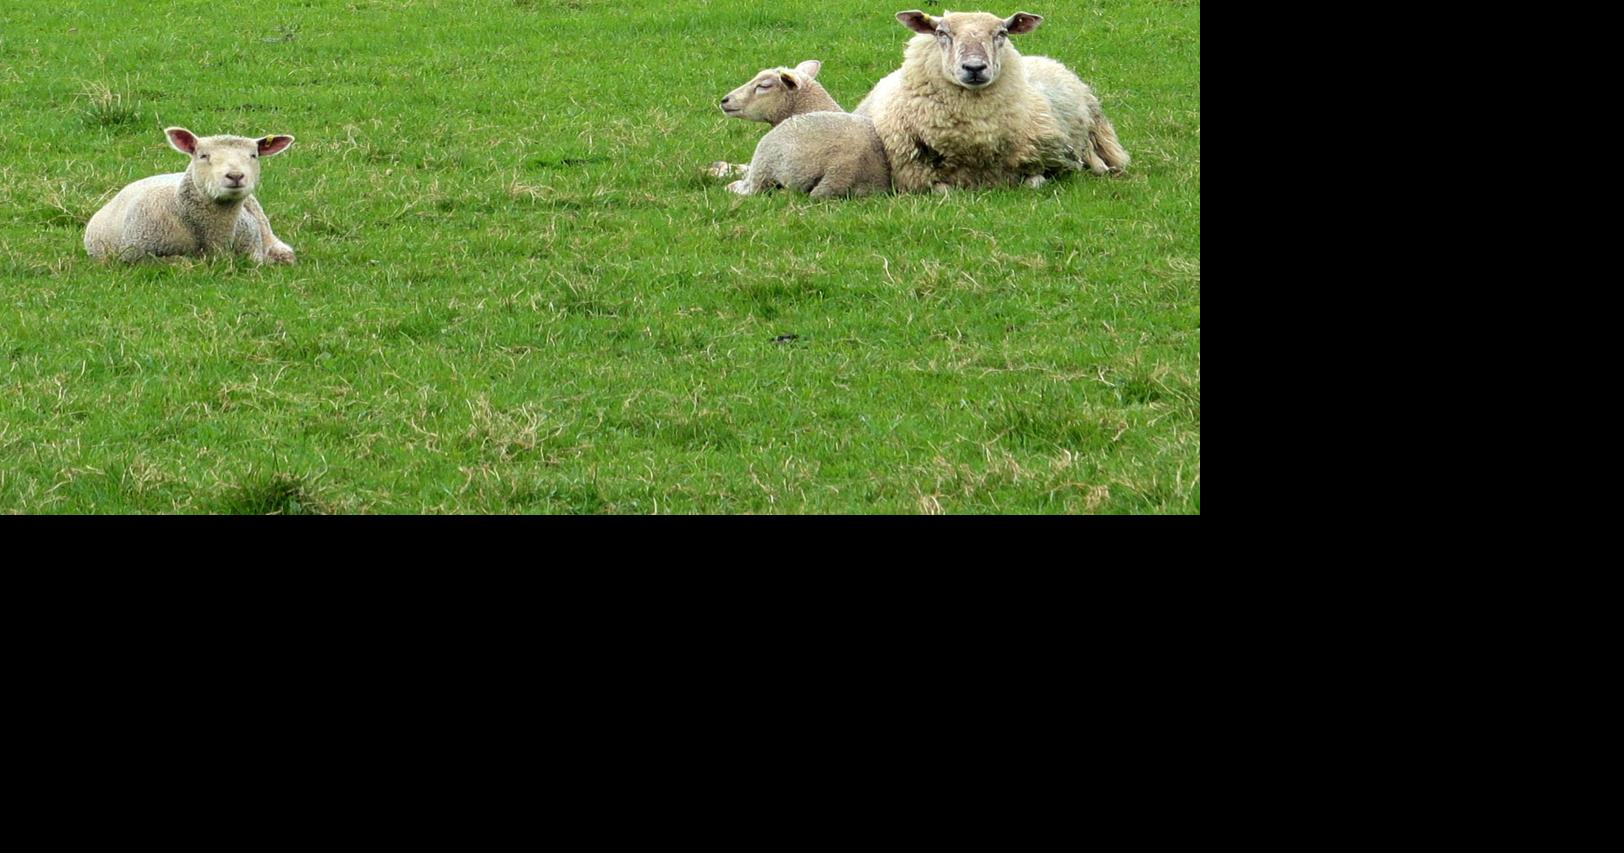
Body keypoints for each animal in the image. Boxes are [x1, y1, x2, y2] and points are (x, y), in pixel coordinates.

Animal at [85, 127, 297, 264]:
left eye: (253, 155)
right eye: (203, 155)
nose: (235, 176)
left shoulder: (252, 248)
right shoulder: (137, 255)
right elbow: (182, 263)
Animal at [854, 10, 1128, 193]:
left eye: (1002, 33)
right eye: (942, 33)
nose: (974, 67)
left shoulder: (1042, 160)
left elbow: (1034, 183)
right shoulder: (918, 178)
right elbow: (945, 191)